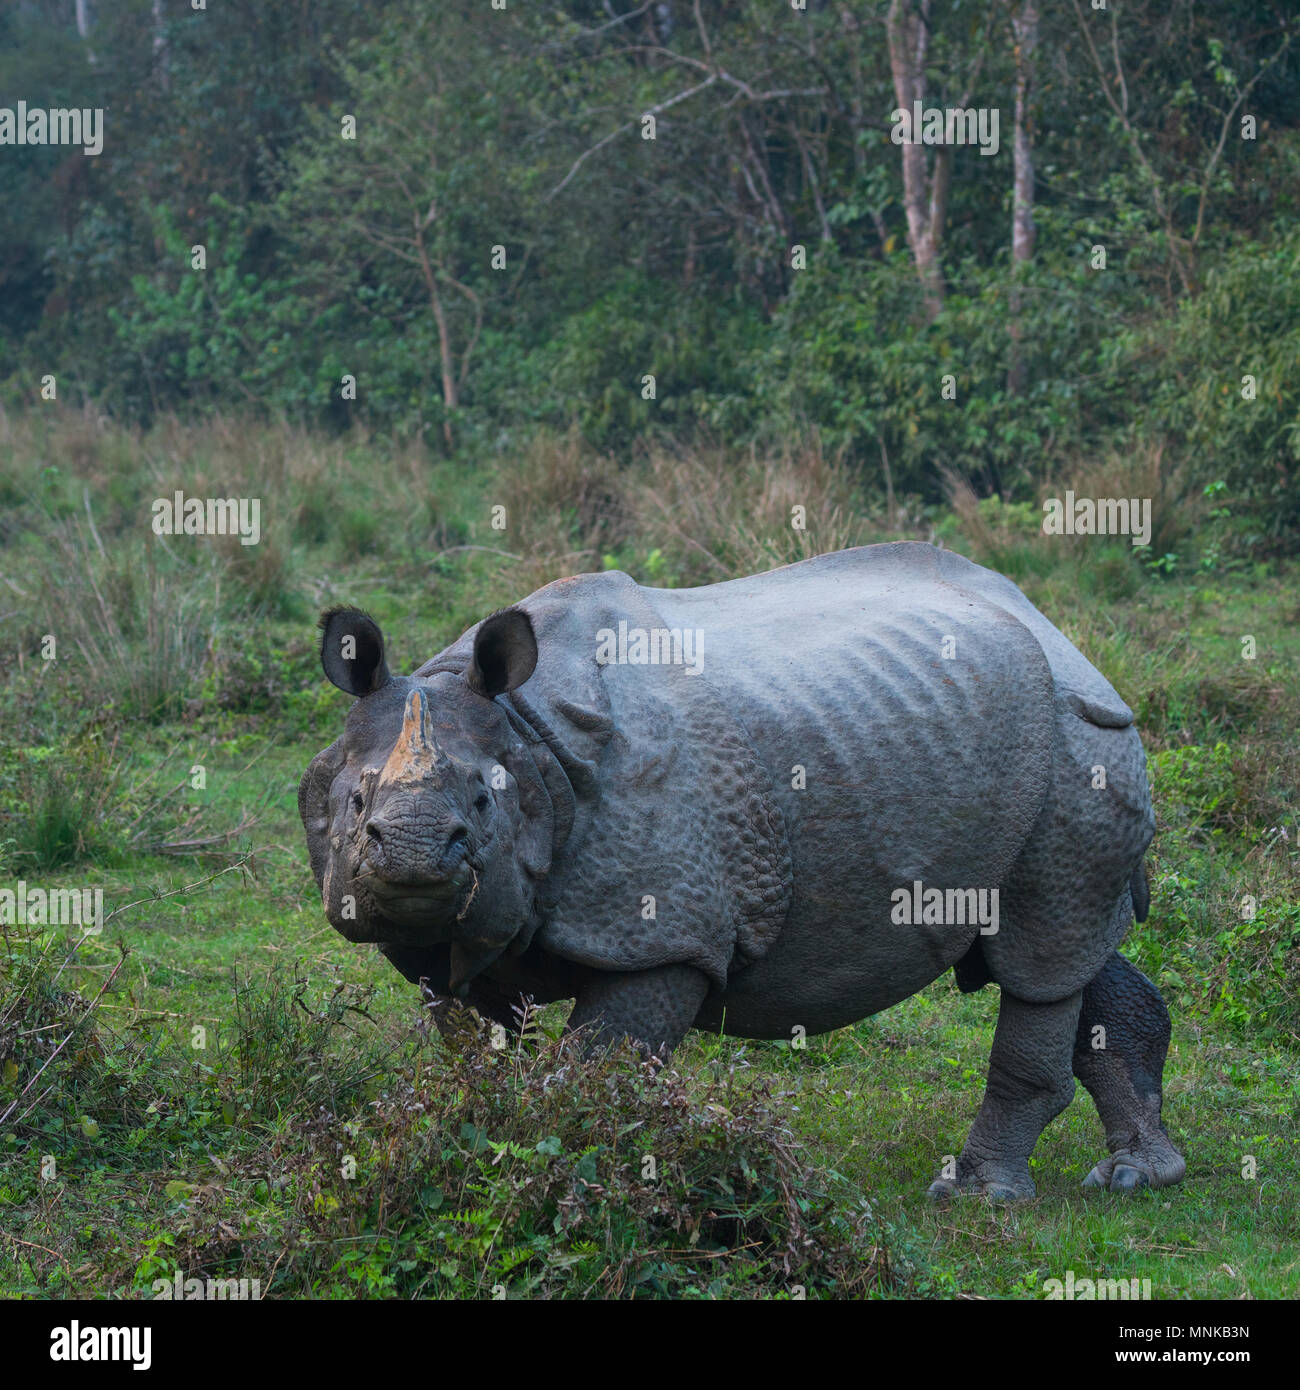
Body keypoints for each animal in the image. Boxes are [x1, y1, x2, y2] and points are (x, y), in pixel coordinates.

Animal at [300, 542, 1185, 1199]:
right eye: (354, 804)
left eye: (484, 806)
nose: (413, 862)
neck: (526, 735)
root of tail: (1058, 631)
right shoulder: (457, 940)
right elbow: (471, 1053)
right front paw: (480, 1150)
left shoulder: (669, 933)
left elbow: (596, 1073)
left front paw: (565, 1175)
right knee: (1069, 951)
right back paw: (1139, 1175)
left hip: (1081, 742)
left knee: (1039, 952)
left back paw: (977, 1195)